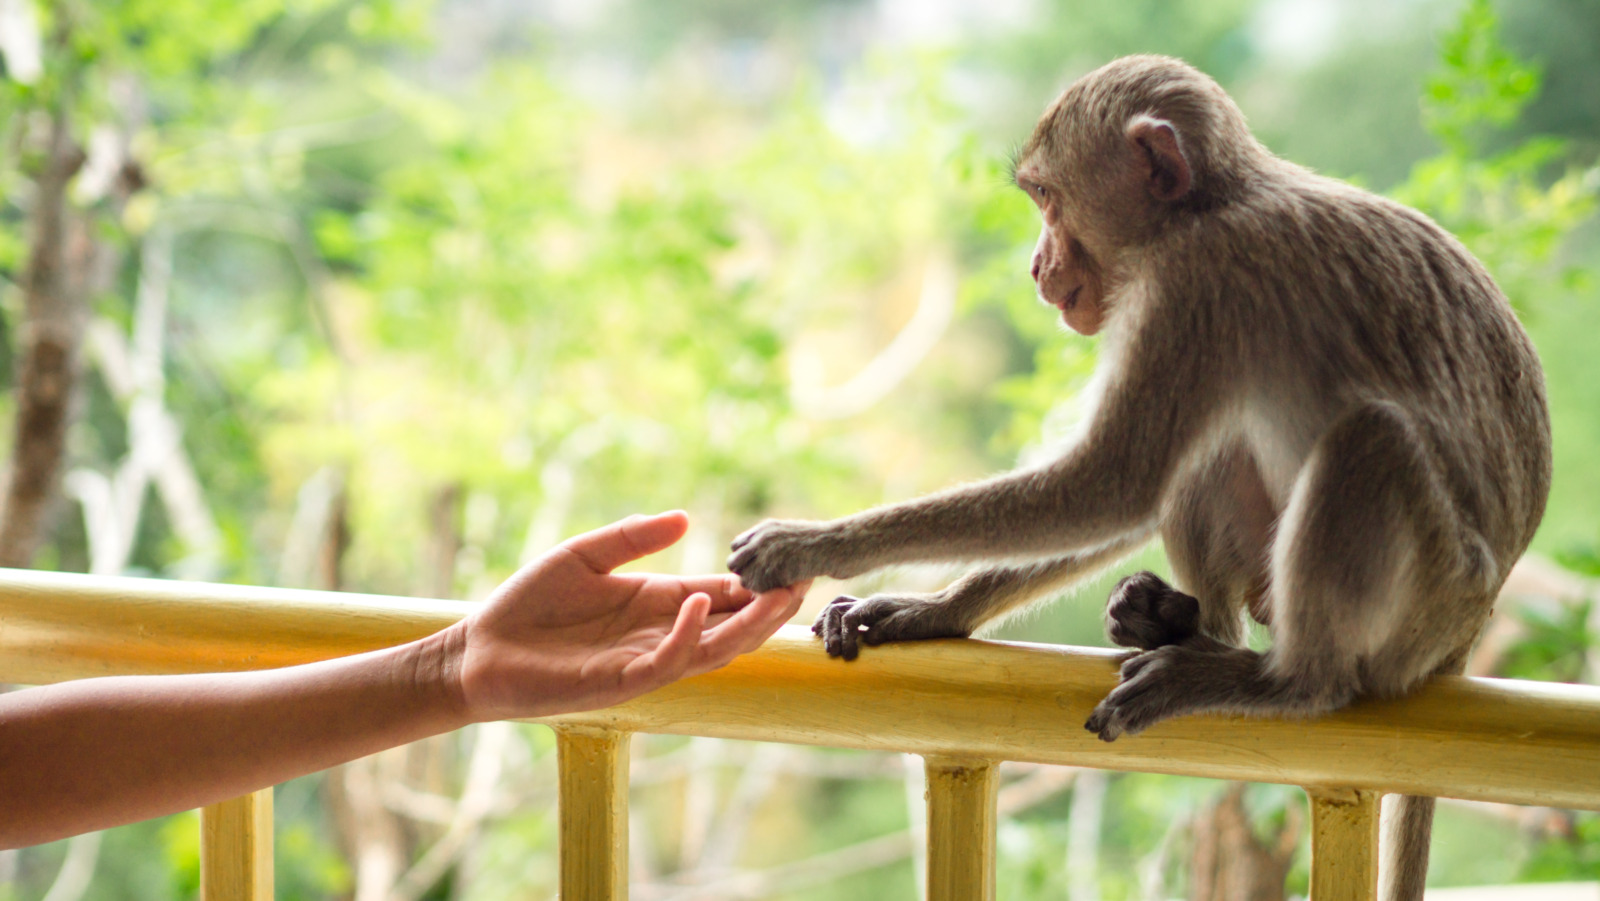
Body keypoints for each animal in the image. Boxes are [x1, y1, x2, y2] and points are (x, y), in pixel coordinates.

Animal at [726, 55, 1551, 900]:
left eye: (1048, 198)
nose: (1036, 266)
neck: (1206, 206)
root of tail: (1471, 627)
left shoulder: (1196, 284)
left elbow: (1111, 480)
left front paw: (813, 544)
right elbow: (1127, 488)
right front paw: (934, 608)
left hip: (1428, 600)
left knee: (1369, 442)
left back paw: (1281, 679)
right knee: (1215, 457)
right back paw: (1185, 625)